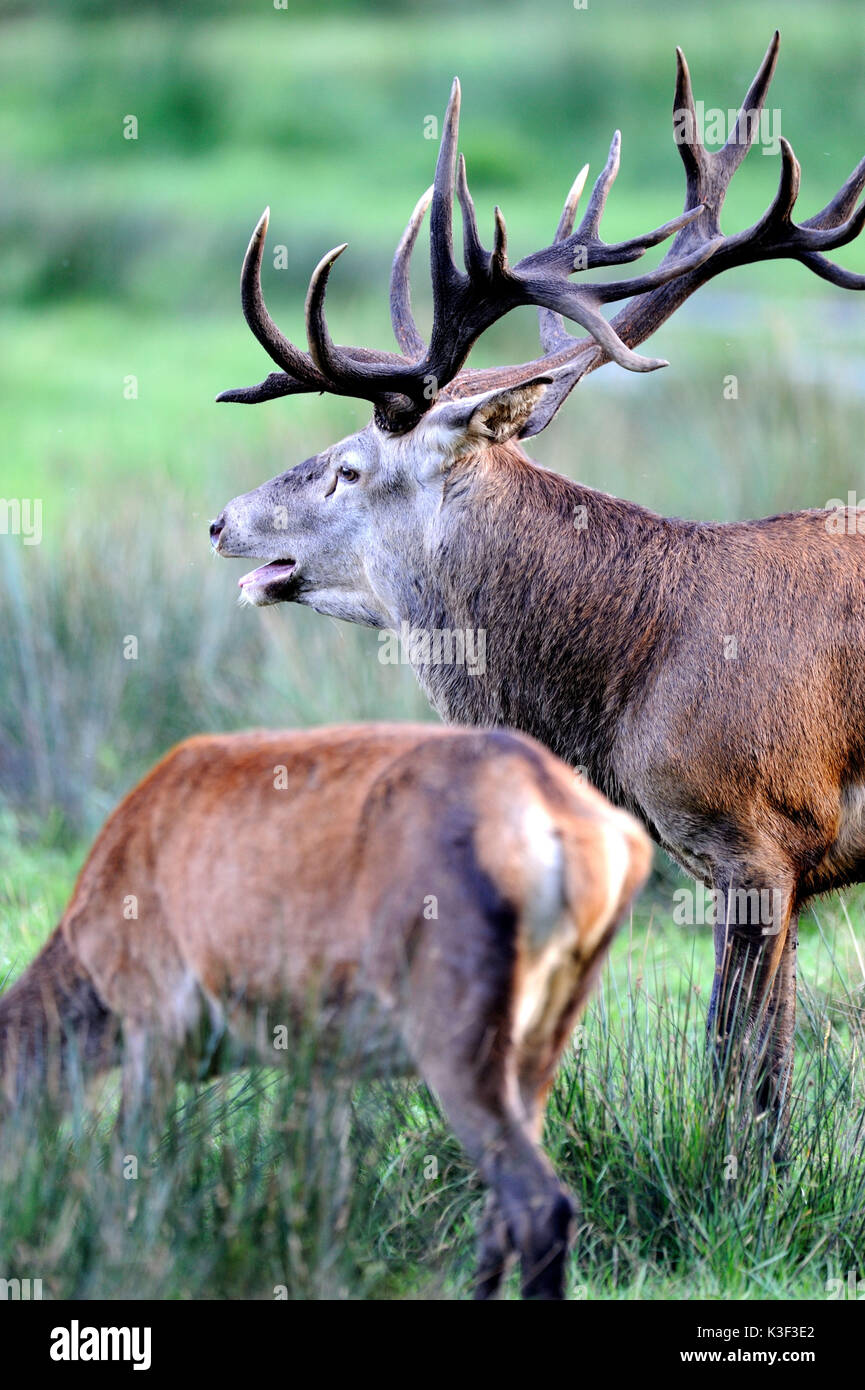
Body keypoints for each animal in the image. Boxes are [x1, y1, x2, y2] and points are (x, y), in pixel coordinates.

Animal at [0, 723, 650, 1300]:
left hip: (456, 1019)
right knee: (502, 1209)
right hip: (545, 1034)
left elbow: (128, 1166)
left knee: (539, 1201)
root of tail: (598, 839)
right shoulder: (320, 1054)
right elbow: (323, 1192)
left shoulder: (155, 1011)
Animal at [209, 32, 865, 1151]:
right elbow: (770, 1073)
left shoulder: (754, 839)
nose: (222, 521)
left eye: (347, 468)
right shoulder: (780, 870)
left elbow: (736, 1071)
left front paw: (731, 1178)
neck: (635, 679)